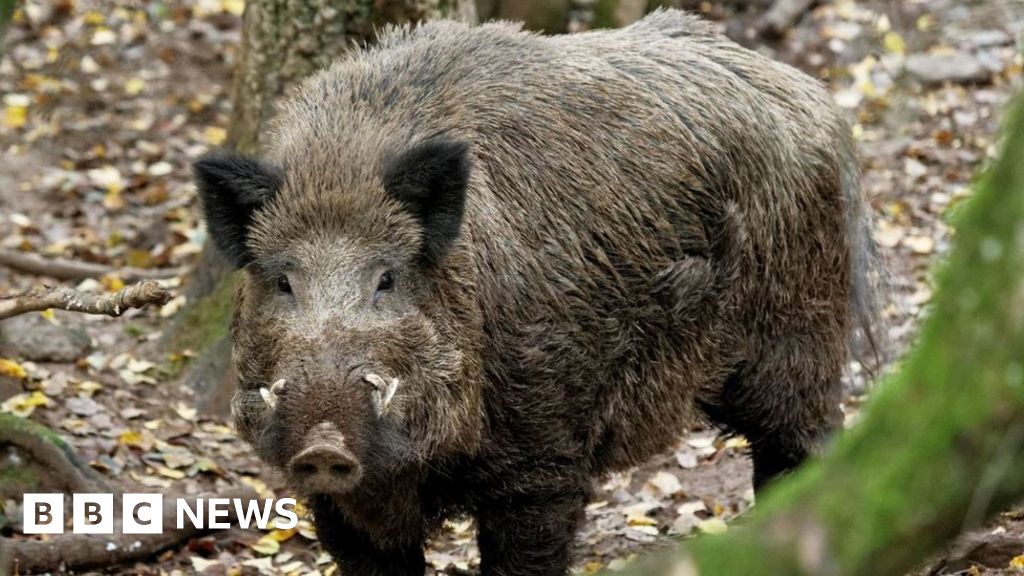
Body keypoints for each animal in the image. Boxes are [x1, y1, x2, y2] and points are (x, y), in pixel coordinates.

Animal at [194, 9, 877, 576]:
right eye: (282, 281)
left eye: (387, 277)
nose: (323, 443)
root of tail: (810, 94)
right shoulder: (337, 503)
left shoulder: (543, 452)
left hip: (798, 329)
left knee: (805, 442)